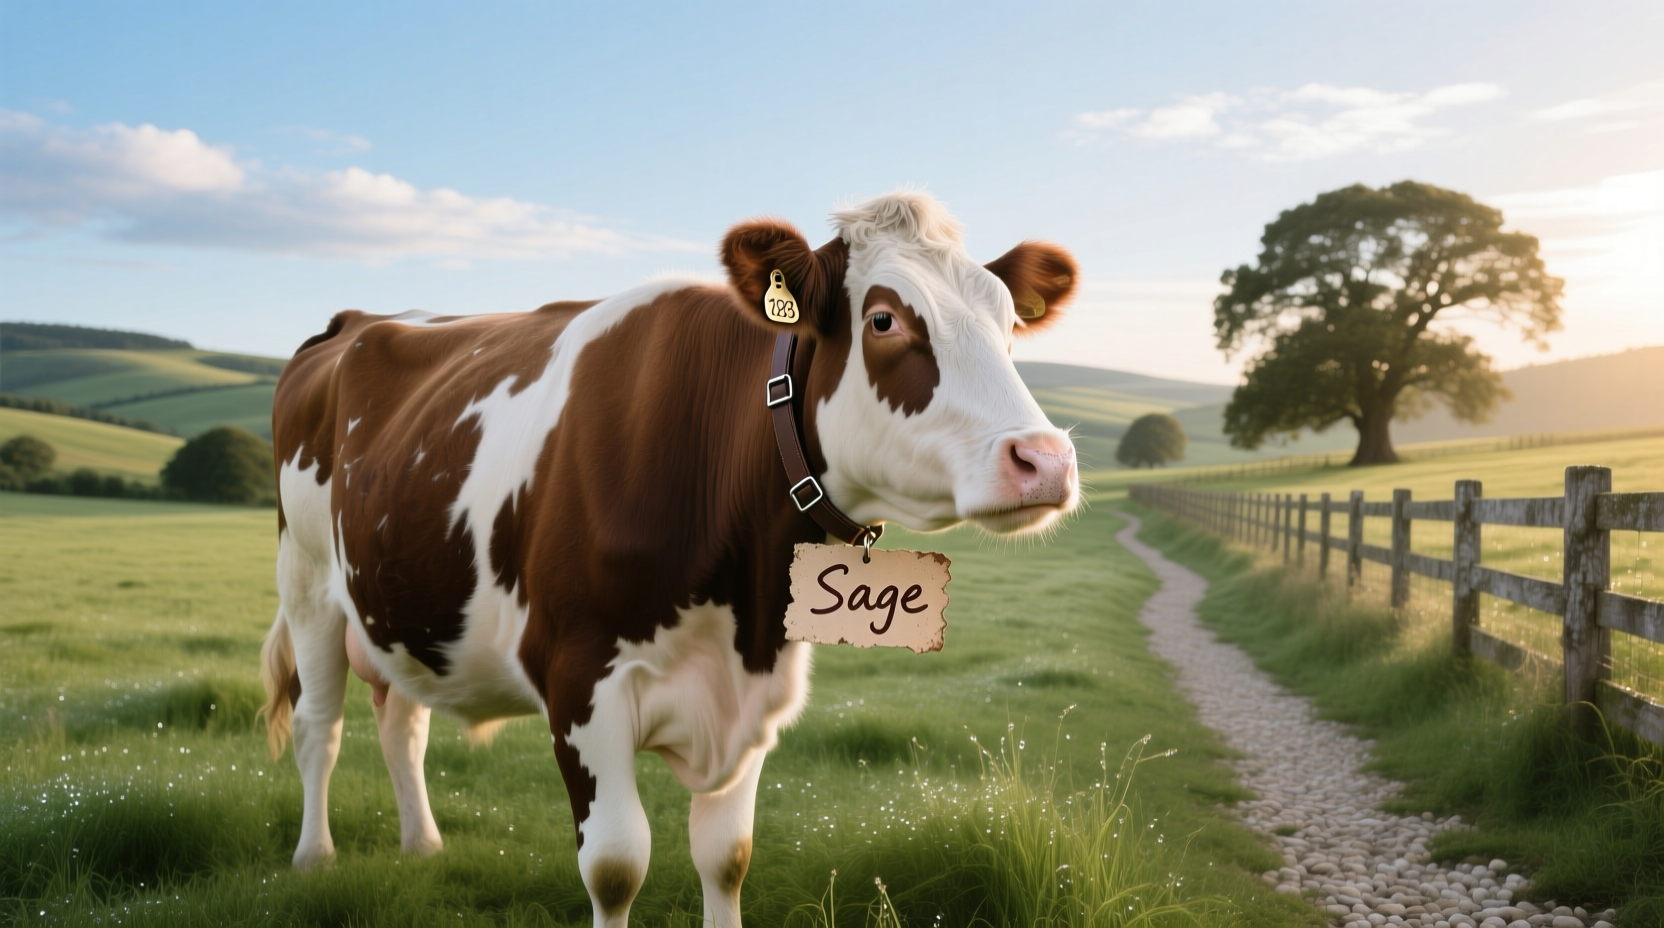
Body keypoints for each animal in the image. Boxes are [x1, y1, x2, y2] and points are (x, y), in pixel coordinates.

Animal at [258, 191, 1080, 927]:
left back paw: (423, 846)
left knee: (403, 723)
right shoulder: (580, 680)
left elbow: (727, 856)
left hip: (401, 604)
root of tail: (354, 322)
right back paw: (313, 858)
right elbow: (616, 865)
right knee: (321, 725)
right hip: (307, 582)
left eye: (1009, 323)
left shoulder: (757, 692)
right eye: (884, 319)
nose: (1045, 460)